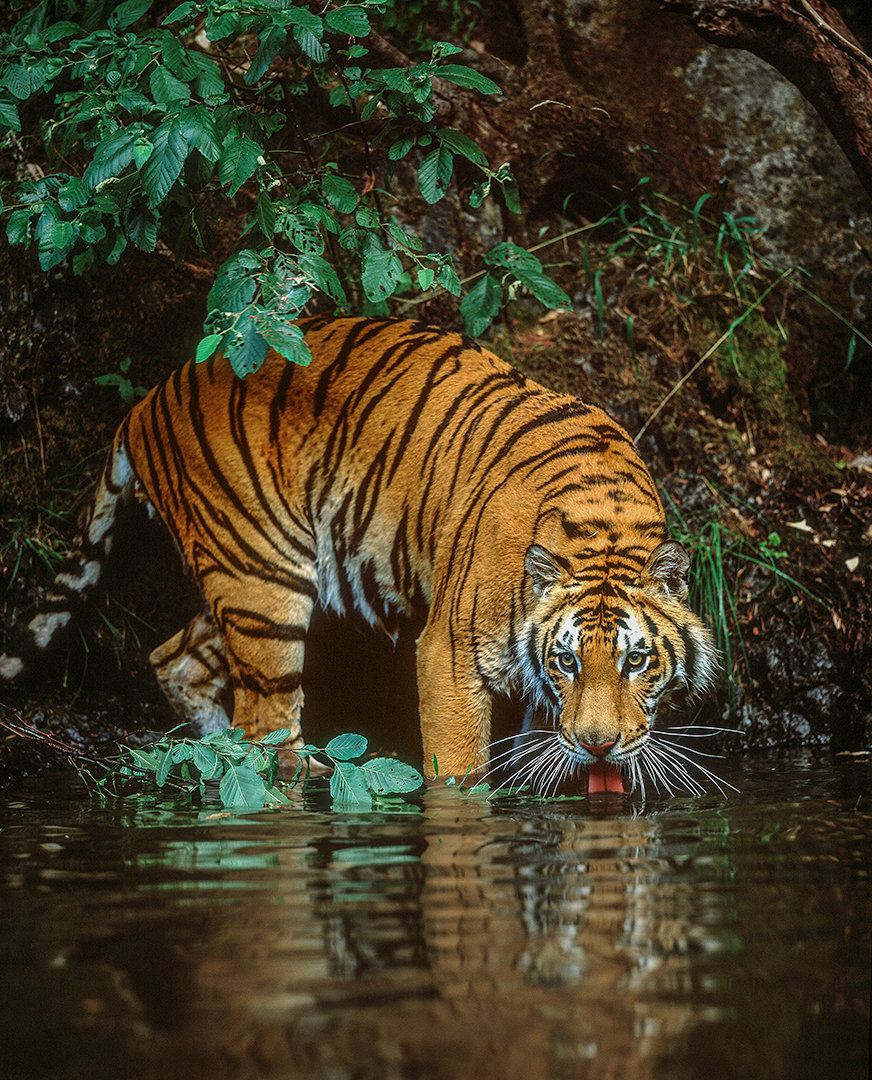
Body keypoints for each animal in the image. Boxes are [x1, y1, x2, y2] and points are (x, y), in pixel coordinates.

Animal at [1, 316, 717, 791]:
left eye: (636, 661)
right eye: (567, 660)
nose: (599, 747)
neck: (607, 528)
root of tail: (147, 400)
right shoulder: (450, 655)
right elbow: (460, 773)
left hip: (247, 571)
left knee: (174, 660)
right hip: (265, 585)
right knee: (265, 725)